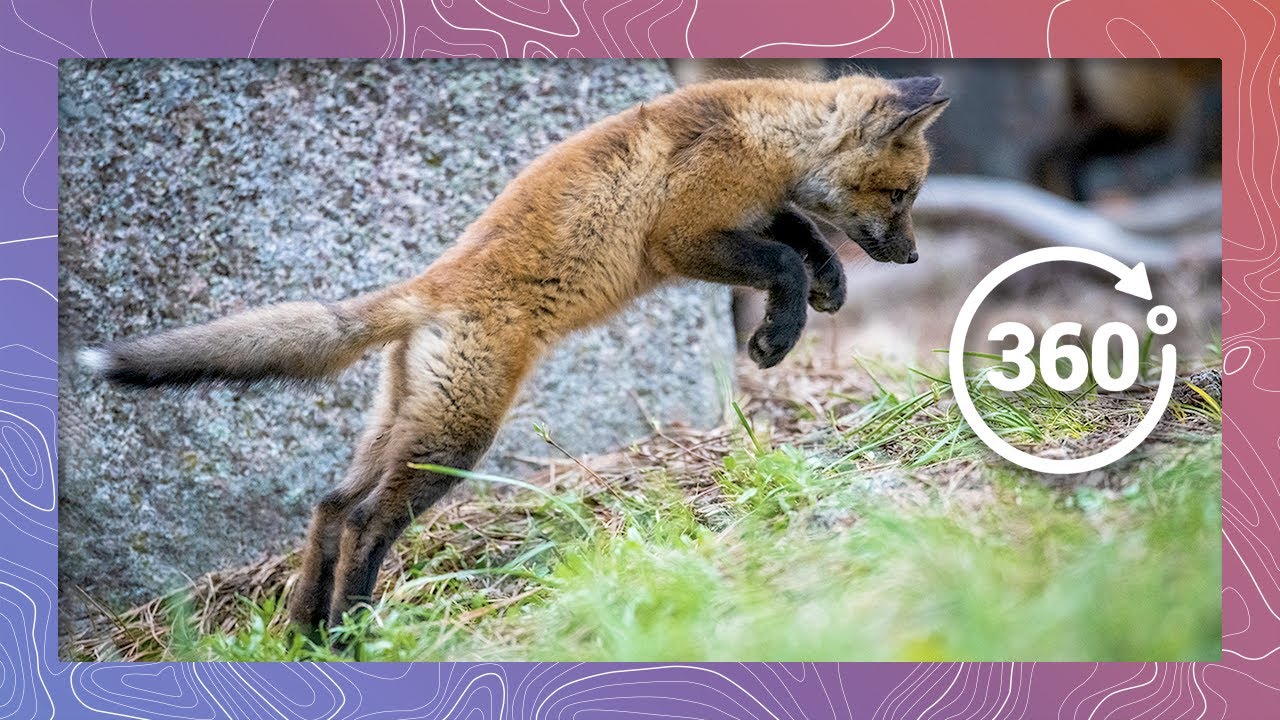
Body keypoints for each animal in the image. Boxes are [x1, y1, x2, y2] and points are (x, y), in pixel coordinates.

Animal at [78, 73, 949, 631]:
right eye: (901, 195)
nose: (911, 257)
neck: (765, 131)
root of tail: (427, 289)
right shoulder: (682, 236)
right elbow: (784, 260)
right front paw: (776, 334)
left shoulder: (750, 216)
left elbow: (803, 239)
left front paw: (829, 288)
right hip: (455, 438)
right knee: (364, 521)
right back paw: (355, 631)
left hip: (402, 424)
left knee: (328, 505)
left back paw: (306, 630)